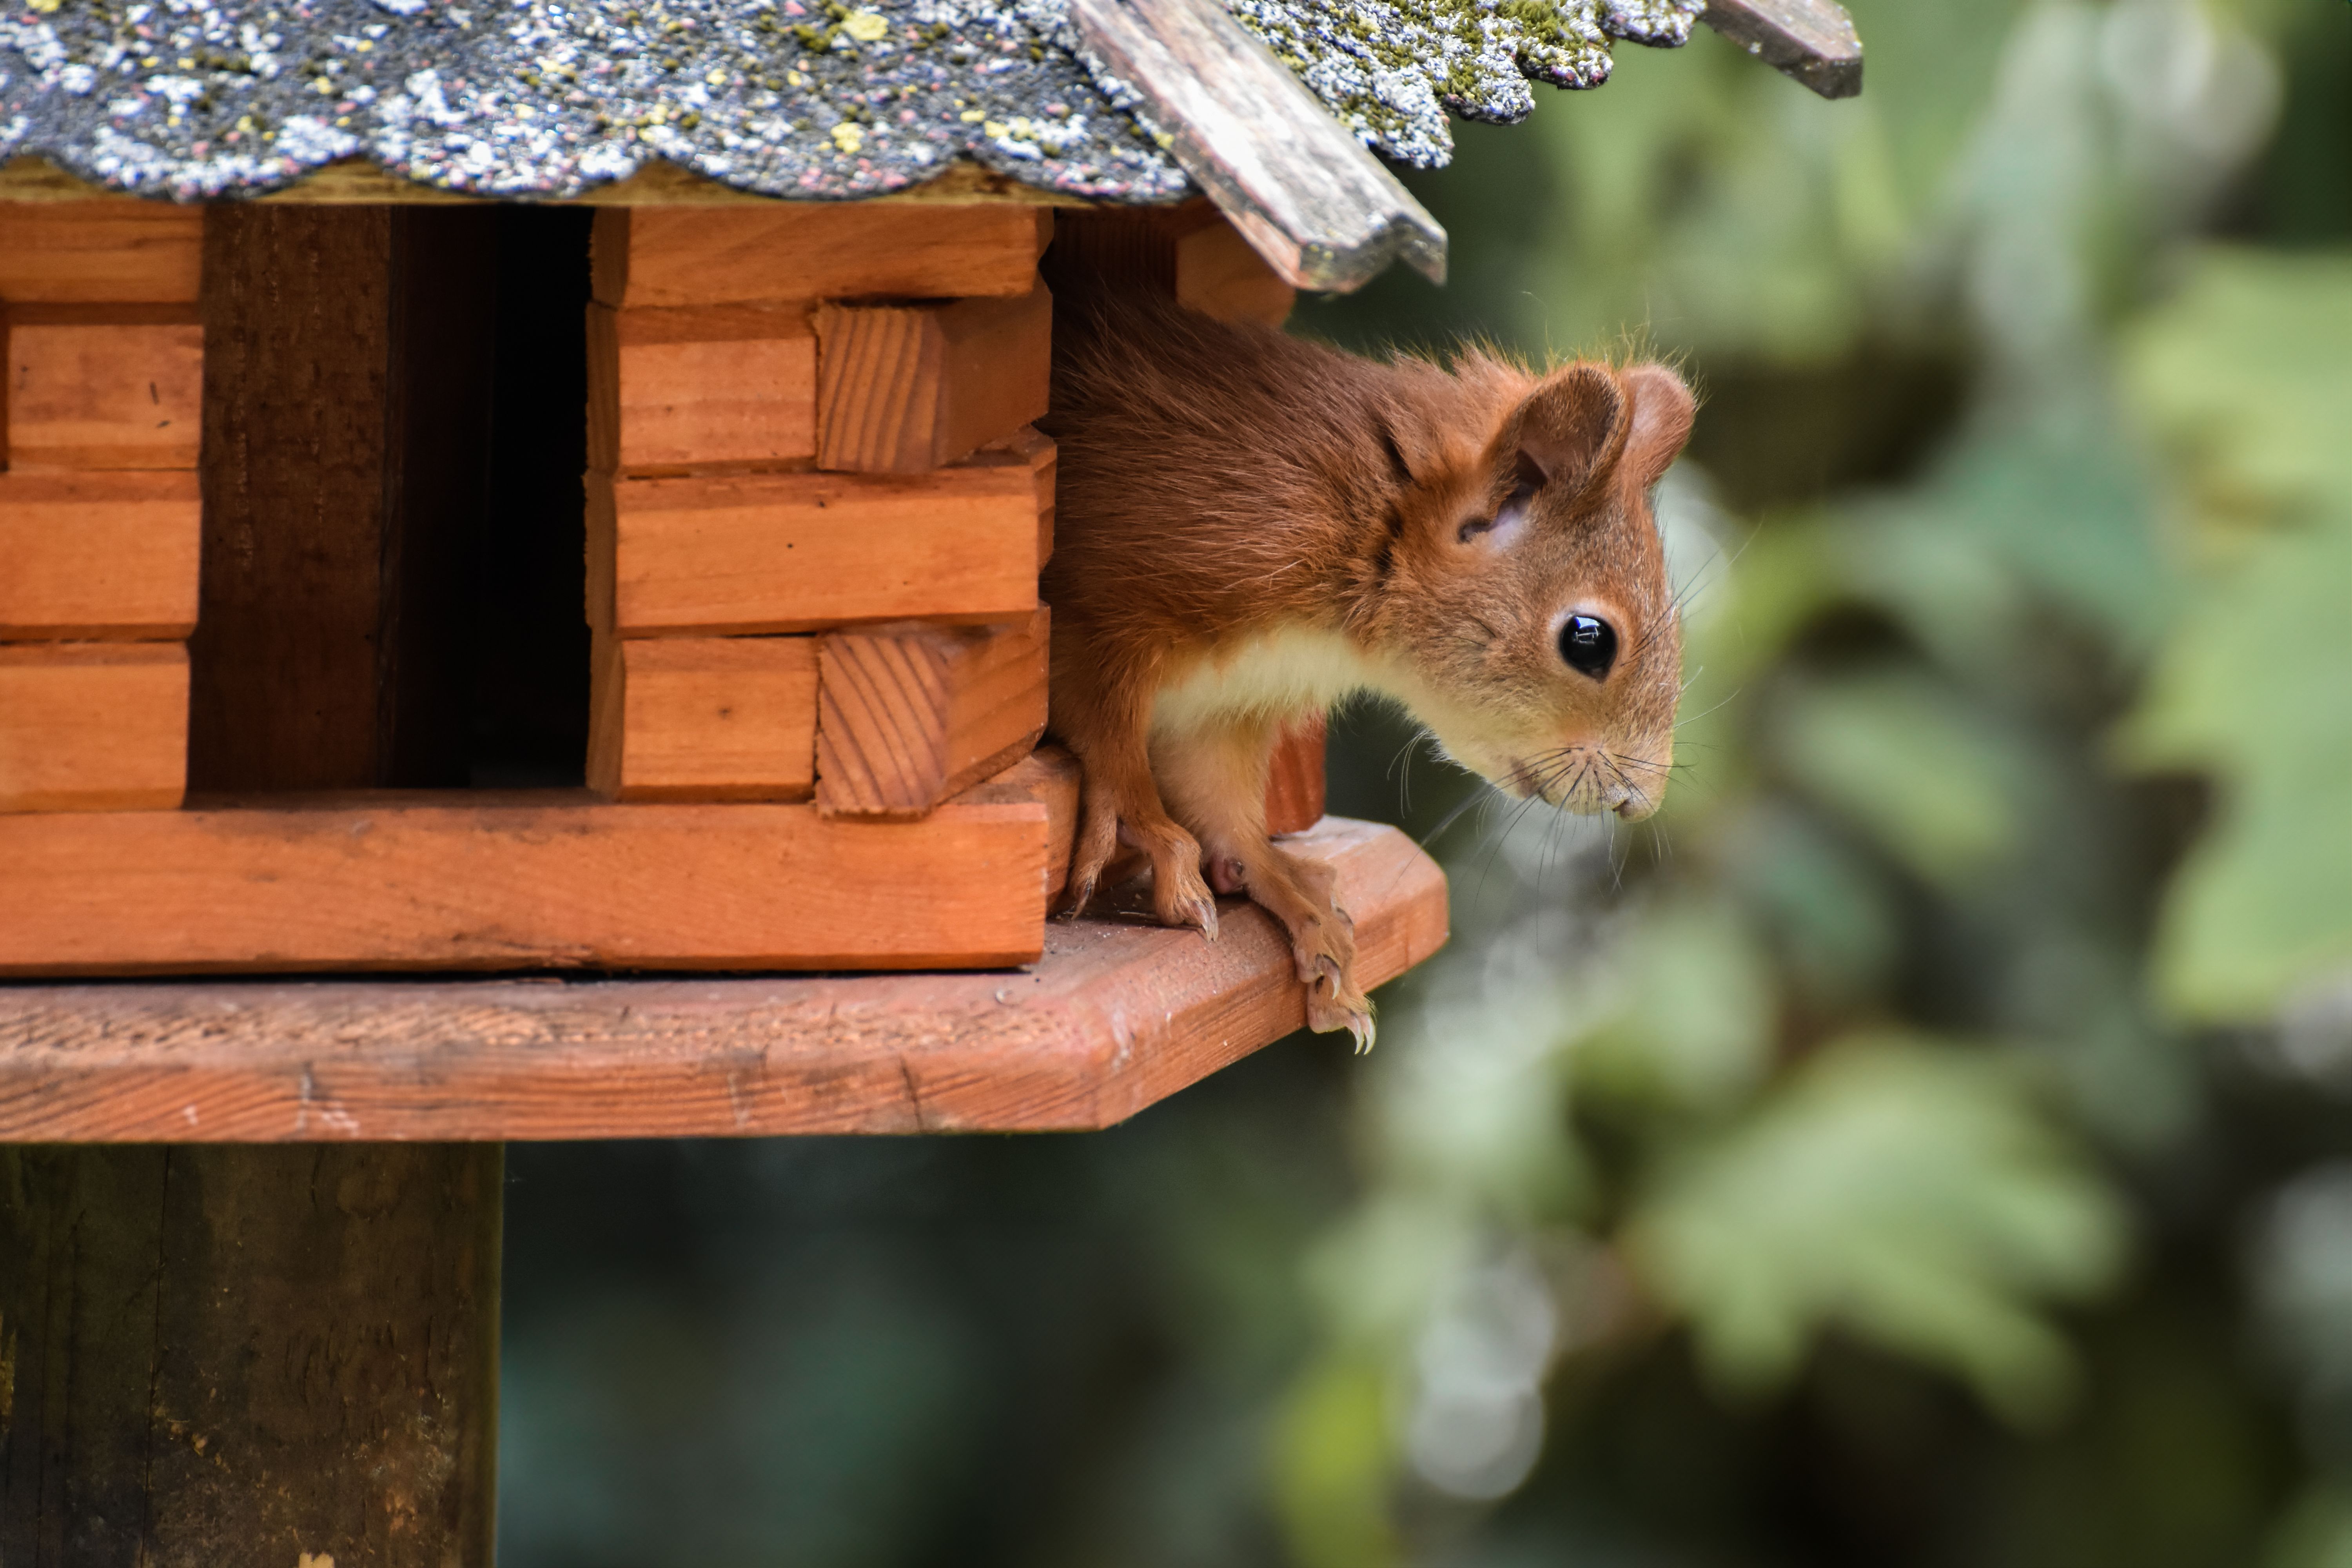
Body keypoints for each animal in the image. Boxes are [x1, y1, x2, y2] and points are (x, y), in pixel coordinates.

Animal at [1038, 294, 1695, 1048]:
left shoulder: (1221, 709)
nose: (1638, 802)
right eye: (1589, 640)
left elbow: (1220, 802)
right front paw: (1143, 824)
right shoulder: (1105, 607)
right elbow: (1106, 730)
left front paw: (1296, 900)